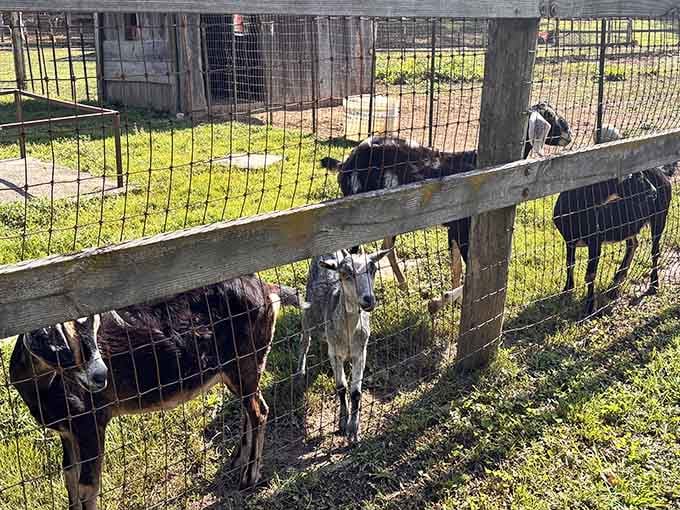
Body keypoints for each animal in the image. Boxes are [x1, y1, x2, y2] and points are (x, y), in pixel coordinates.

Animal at [10, 275, 301, 509]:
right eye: (59, 343)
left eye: (94, 332)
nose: (100, 376)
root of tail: (266, 289)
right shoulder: (68, 432)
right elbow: (69, 477)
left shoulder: (91, 421)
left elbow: (87, 486)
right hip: (244, 367)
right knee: (249, 408)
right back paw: (236, 460)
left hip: (245, 360)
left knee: (259, 410)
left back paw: (248, 477)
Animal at [297, 248, 390, 443]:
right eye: (346, 274)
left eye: (373, 269)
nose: (369, 300)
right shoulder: (334, 354)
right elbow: (341, 387)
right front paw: (342, 422)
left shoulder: (361, 352)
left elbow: (355, 392)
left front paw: (354, 429)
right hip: (308, 312)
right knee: (305, 341)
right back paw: (300, 373)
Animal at [321, 102, 572, 314]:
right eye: (550, 116)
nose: (569, 135)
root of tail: (346, 163)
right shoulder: (462, 228)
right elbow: (470, 272)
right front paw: (437, 302)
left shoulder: (454, 229)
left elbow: (457, 269)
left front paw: (453, 304)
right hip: (354, 217)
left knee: (386, 246)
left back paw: (403, 286)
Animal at [553, 126, 674, 316]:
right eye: (634, 176)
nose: (653, 192)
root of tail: (662, 173)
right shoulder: (569, 240)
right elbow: (569, 264)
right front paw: (567, 290)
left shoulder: (595, 240)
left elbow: (590, 274)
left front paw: (590, 307)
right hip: (629, 224)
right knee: (633, 243)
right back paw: (616, 283)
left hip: (660, 216)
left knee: (655, 251)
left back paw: (653, 285)